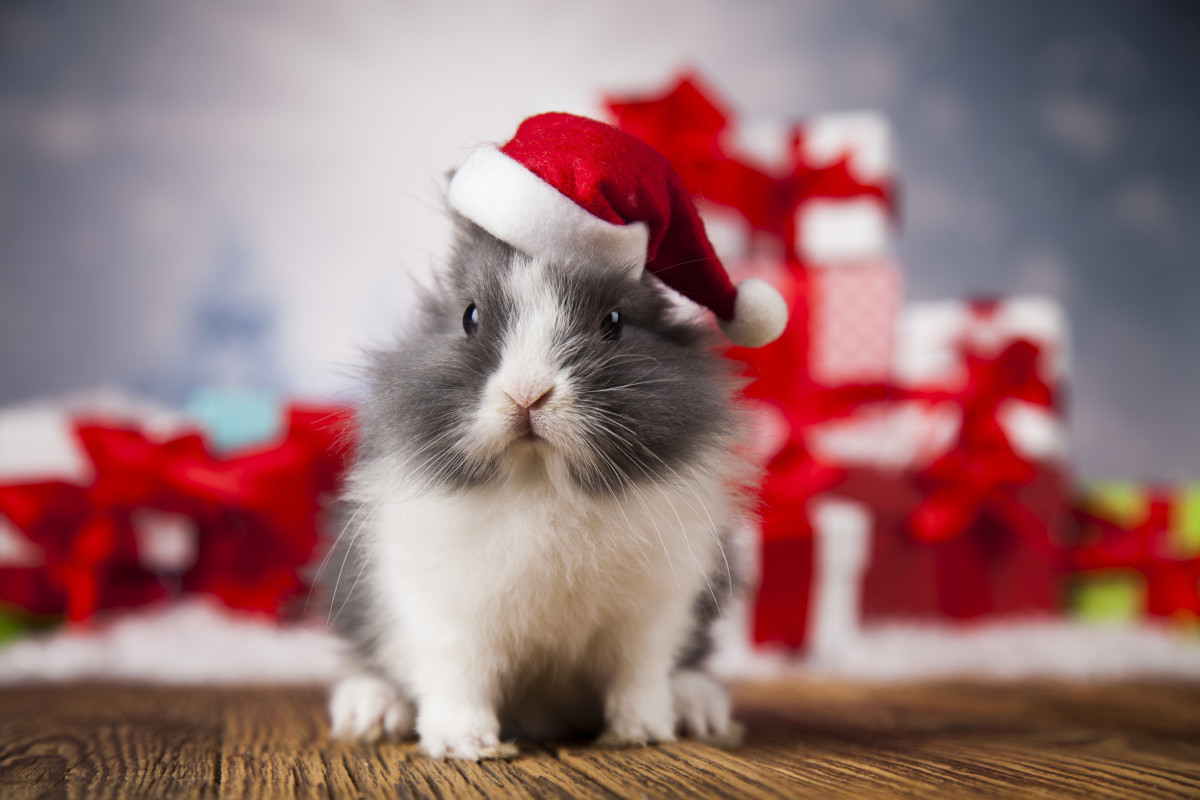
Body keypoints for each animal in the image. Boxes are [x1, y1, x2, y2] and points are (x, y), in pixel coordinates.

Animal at [324, 214, 761, 760]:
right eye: (469, 316)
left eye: (614, 321)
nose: (527, 393)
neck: (541, 483)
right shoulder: (445, 615)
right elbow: (459, 678)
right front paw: (465, 744)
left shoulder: (652, 614)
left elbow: (638, 675)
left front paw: (641, 731)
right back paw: (371, 712)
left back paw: (697, 709)